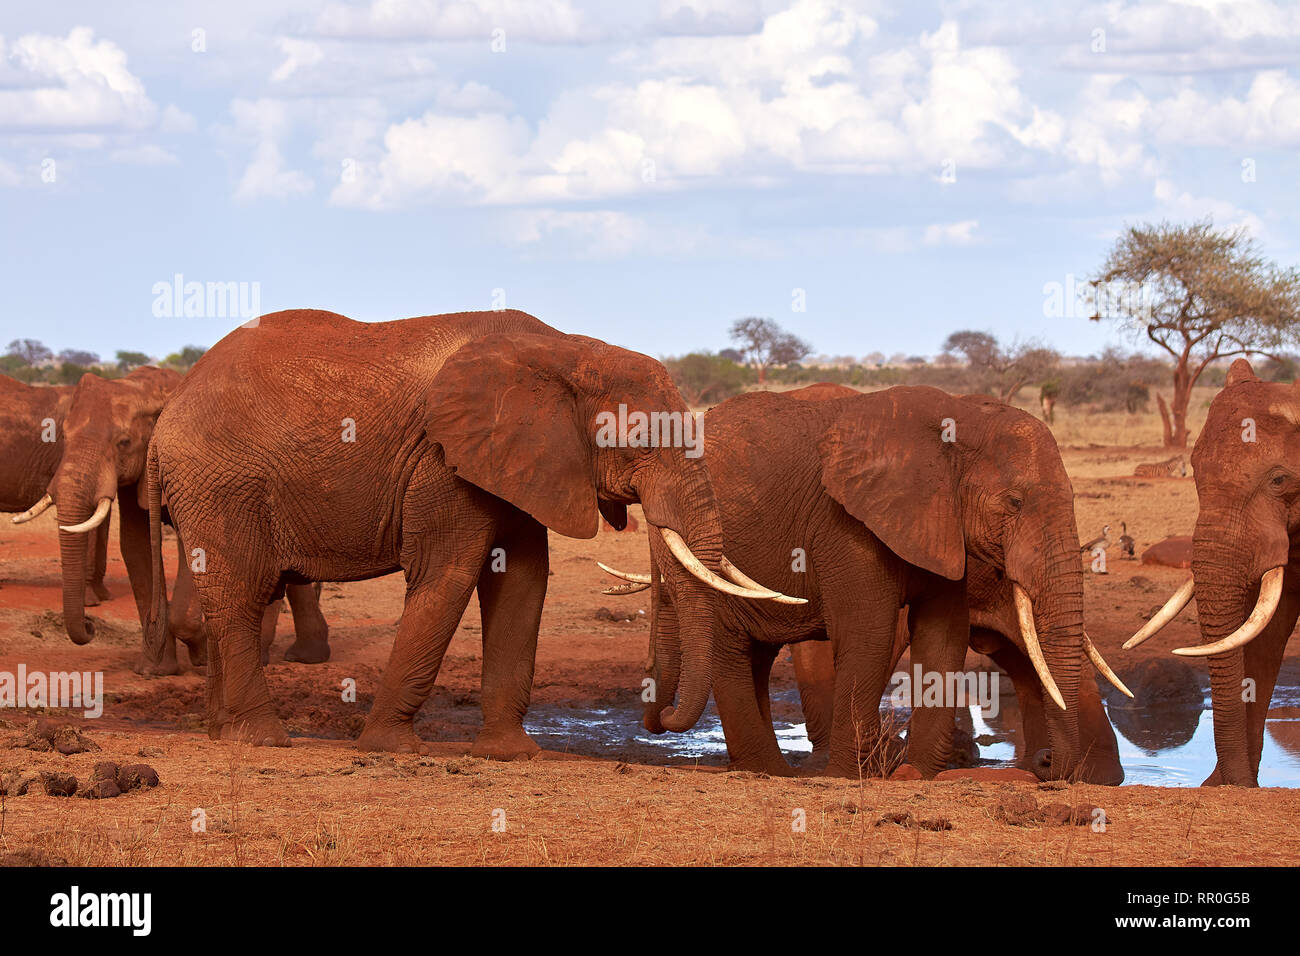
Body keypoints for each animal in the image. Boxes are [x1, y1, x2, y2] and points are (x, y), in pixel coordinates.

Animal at [143, 308, 793, 754]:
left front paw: (513, 755)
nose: (657, 721)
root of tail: (167, 415)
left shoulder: (525, 464)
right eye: (637, 440)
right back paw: (262, 737)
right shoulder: (445, 462)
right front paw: (393, 749)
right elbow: (449, 574)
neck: (565, 352)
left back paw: (221, 733)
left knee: (237, 596)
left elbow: (524, 583)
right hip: (221, 484)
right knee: (241, 593)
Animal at [599, 385, 1127, 778]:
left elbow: (943, 634)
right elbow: (867, 631)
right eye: (1014, 502)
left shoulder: (939, 524)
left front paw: (916, 775)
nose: (1046, 763)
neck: (959, 418)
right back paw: (769, 771)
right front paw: (848, 776)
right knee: (730, 646)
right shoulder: (845, 522)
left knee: (756, 654)